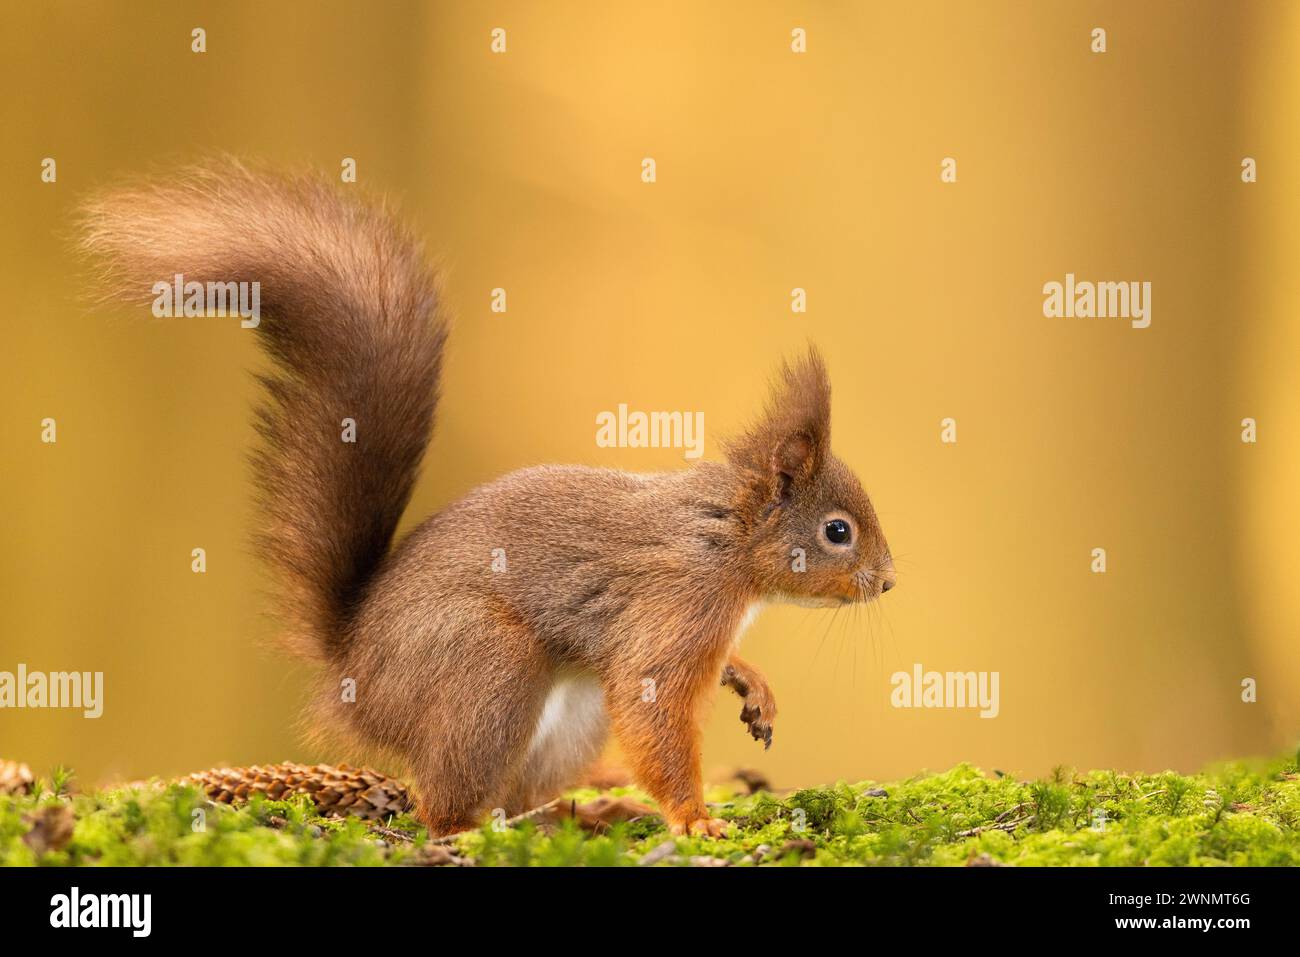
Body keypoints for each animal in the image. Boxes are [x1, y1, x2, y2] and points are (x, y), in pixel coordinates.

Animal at [79, 161, 896, 837]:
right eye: (838, 531)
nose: (888, 582)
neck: (725, 538)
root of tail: (352, 674)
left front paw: (750, 685)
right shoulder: (675, 604)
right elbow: (655, 706)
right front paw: (695, 817)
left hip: (567, 715)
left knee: (519, 796)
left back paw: (587, 809)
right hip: (484, 667)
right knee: (443, 808)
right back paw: (476, 826)